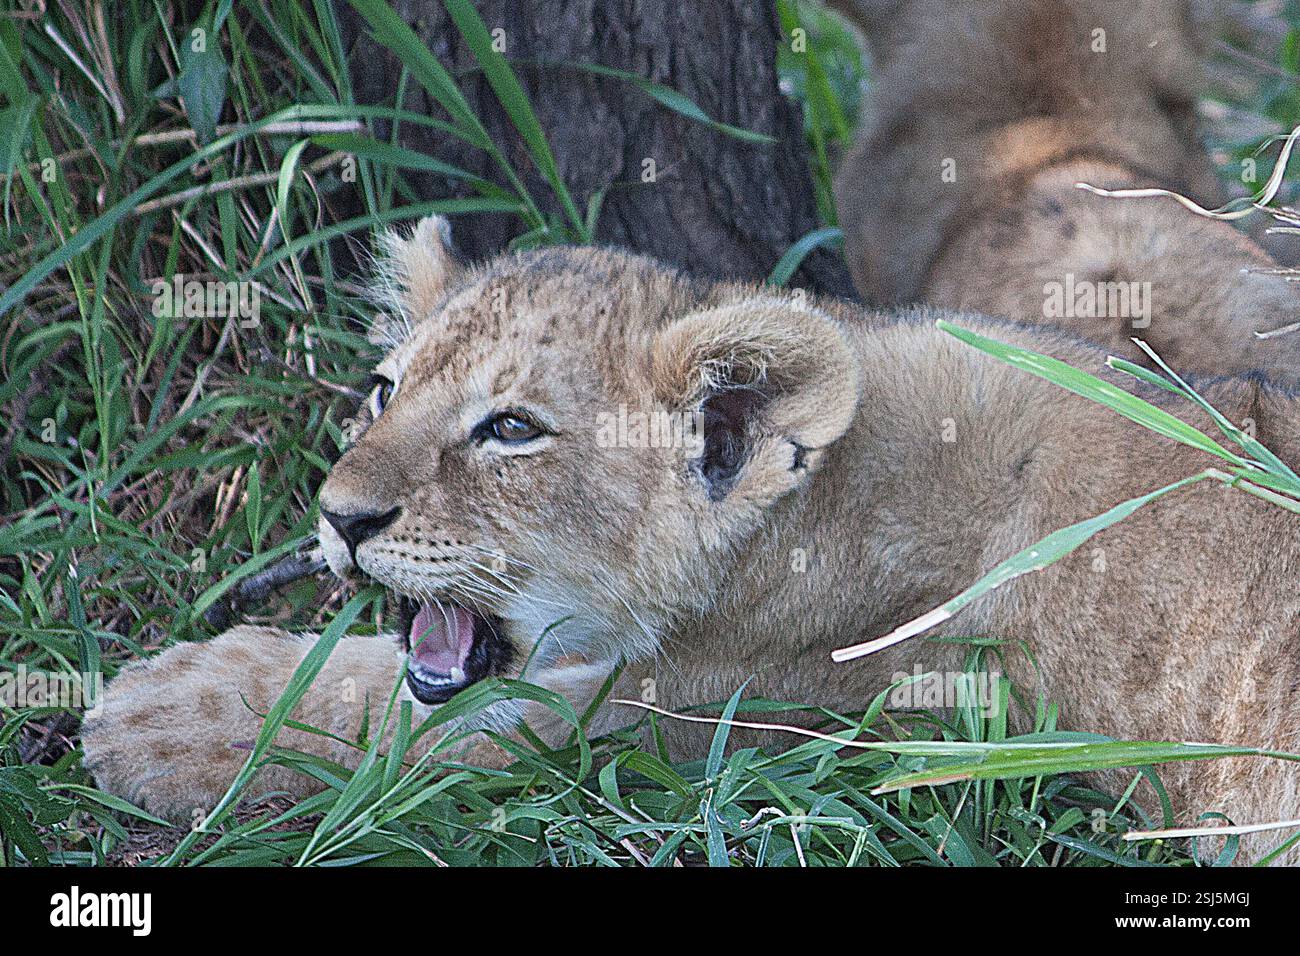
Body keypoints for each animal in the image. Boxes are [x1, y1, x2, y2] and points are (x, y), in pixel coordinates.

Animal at [82, 217, 1300, 863]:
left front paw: (147, 715)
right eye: (383, 392)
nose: (339, 516)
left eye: (510, 430)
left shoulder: (720, 714)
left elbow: (408, 722)